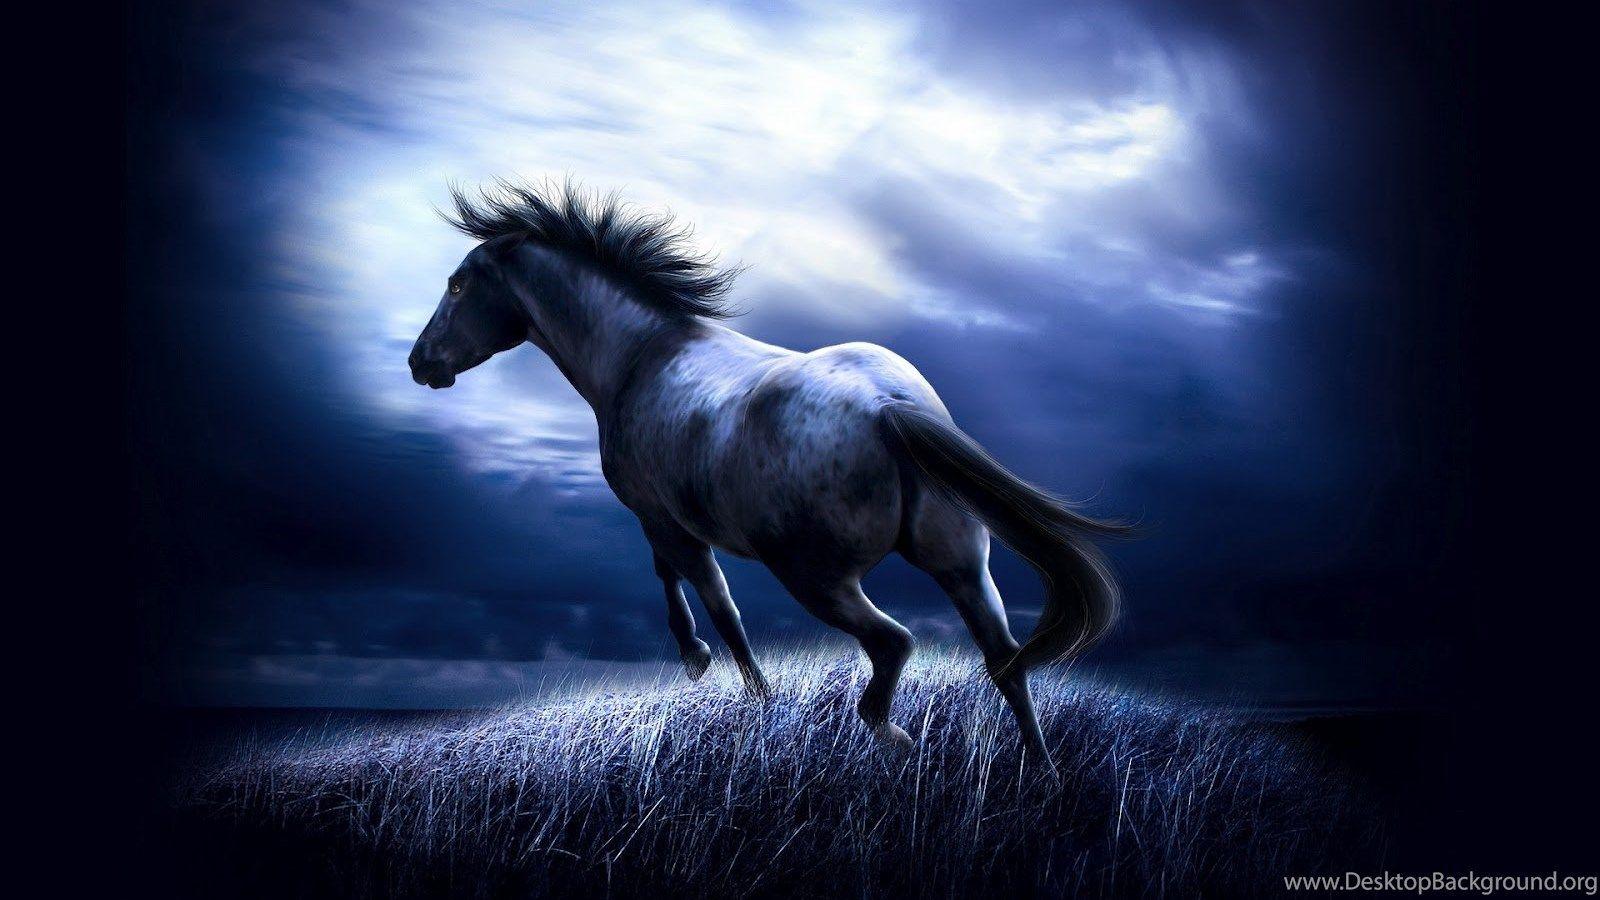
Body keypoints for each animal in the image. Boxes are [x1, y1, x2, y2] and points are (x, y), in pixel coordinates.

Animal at [408, 181, 1129, 757]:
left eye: (457, 284)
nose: (420, 363)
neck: (641, 355)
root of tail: (890, 410)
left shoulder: (662, 520)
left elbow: (713, 602)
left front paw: (727, 679)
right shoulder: (669, 523)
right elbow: (684, 584)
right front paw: (711, 669)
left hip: (816, 577)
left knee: (895, 644)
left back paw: (895, 738)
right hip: (962, 565)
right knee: (1006, 664)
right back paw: (1039, 773)